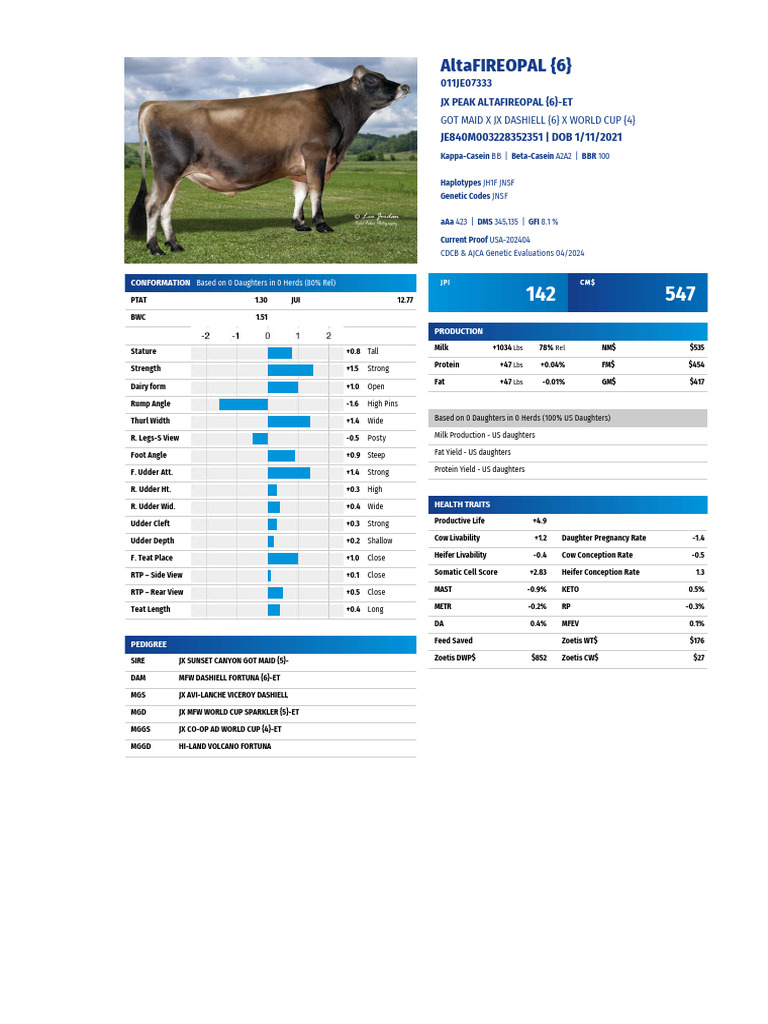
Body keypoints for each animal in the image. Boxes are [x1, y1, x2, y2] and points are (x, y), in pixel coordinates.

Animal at [127, 65, 411, 255]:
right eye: (373, 80)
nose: (405, 86)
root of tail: (155, 104)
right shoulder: (316, 153)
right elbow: (317, 190)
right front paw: (321, 224)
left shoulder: (300, 165)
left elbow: (300, 192)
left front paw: (300, 224)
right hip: (168, 168)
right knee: (152, 203)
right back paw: (154, 247)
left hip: (176, 174)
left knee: (166, 207)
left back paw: (174, 244)